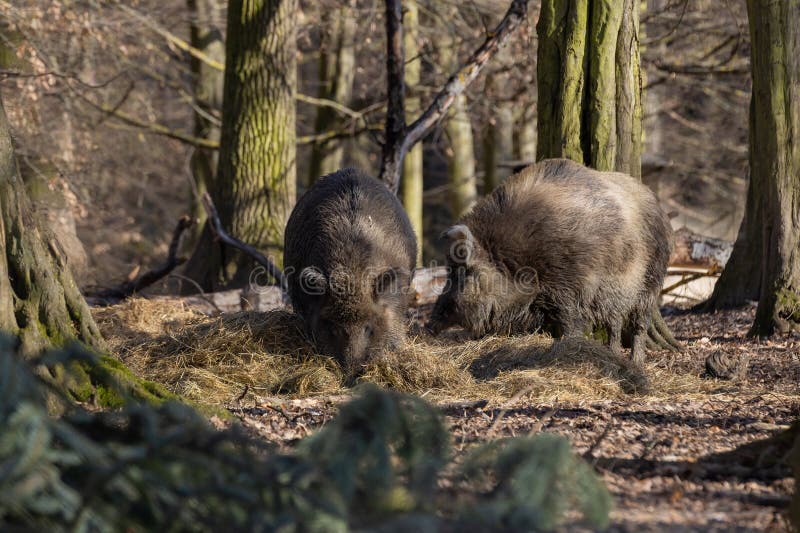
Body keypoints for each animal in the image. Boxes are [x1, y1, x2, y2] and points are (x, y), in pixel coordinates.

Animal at [427, 158, 672, 364]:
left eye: (464, 271)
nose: (429, 325)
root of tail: (657, 205)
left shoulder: (571, 287)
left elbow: (571, 323)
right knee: (615, 321)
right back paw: (615, 356)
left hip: (651, 282)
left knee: (639, 323)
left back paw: (636, 363)